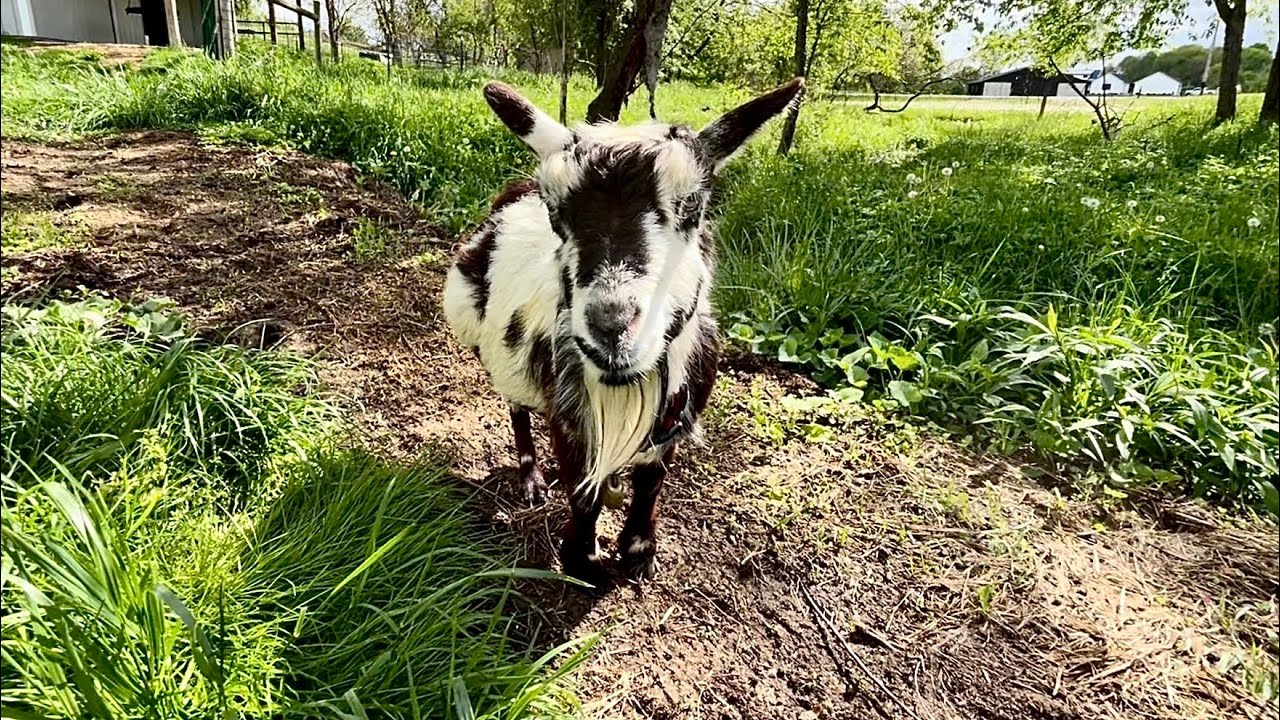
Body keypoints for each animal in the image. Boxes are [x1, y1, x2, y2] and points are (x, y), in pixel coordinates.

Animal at [443, 78, 805, 585]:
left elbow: (651, 480)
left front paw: (638, 553)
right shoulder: (568, 415)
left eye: (694, 204)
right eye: (555, 212)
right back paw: (531, 479)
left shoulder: (675, 415)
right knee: (516, 406)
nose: (612, 327)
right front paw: (582, 559)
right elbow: (583, 489)